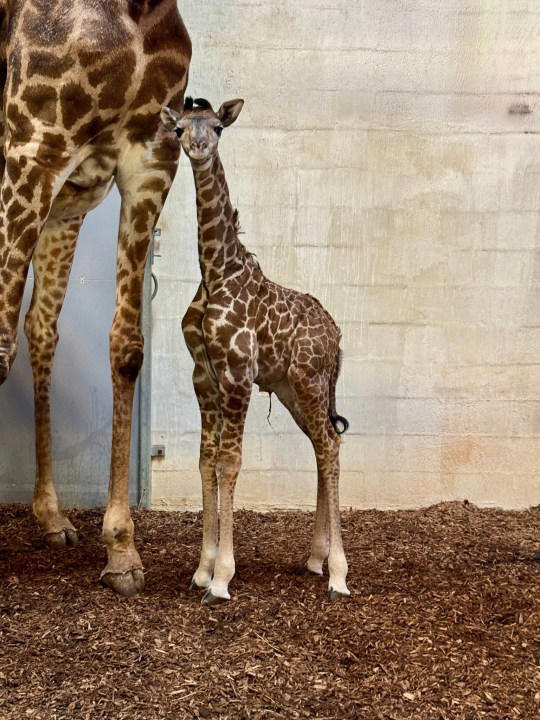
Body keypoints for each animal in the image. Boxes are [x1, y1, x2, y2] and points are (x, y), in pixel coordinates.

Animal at [0, 0, 191, 596]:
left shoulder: (152, 154)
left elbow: (128, 348)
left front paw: (122, 551)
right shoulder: (32, 144)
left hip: (66, 203)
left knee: (41, 327)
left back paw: (53, 516)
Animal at [161, 97, 351, 605]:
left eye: (218, 127)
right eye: (181, 128)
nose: (197, 147)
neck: (215, 273)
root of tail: (338, 336)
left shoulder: (237, 374)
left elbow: (230, 463)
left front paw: (222, 579)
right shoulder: (203, 376)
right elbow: (206, 462)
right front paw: (202, 570)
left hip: (309, 380)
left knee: (329, 445)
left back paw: (339, 575)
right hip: (289, 388)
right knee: (324, 445)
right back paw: (315, 559)